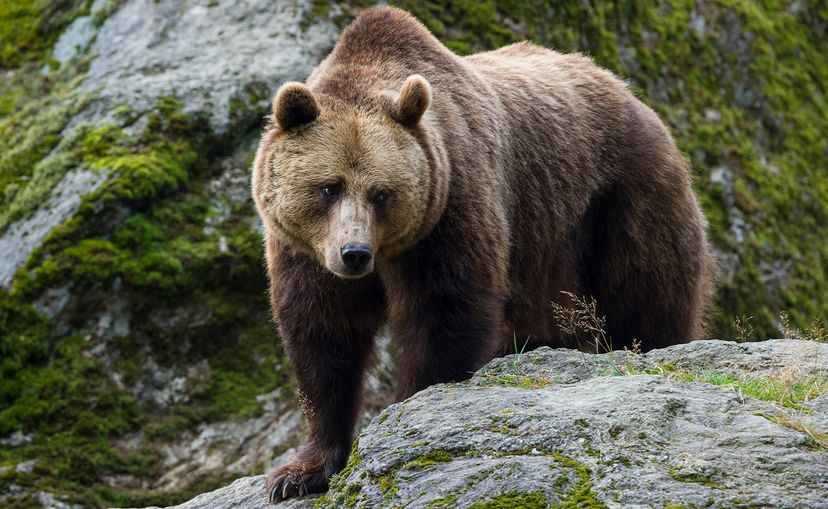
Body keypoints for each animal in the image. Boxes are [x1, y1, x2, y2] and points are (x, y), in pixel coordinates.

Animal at [251, 6, 712, 500]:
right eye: (329, 187)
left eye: (381, 194)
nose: (354, 253)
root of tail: (628, 91)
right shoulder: (305, 251)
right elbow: (323, 335)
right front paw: (300, 471)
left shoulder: (452, 203)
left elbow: (445, 310)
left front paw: (409, 408)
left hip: (619, 199)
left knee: (647, 294)